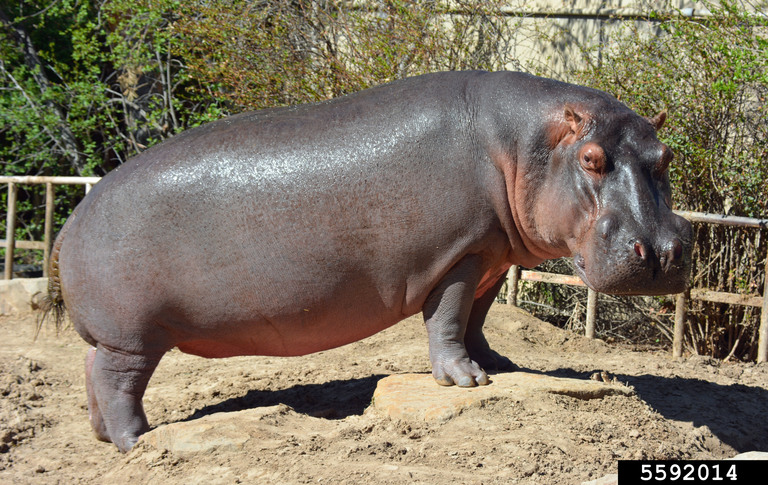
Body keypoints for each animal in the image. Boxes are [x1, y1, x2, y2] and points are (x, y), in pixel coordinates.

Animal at [39, 70, 692, 452]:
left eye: (665, 156)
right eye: (591, 159)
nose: (664, 251)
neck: (523, 144)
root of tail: (70, 223)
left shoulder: (490, 256)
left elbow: (478, 320)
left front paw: (499, 366)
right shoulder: (459, 256)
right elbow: (449, 320)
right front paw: (468, 380)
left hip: (118, 337)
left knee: (93, 376)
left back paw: (107, 439)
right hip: (132, 336)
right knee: (117, 383)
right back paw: (137, 442)